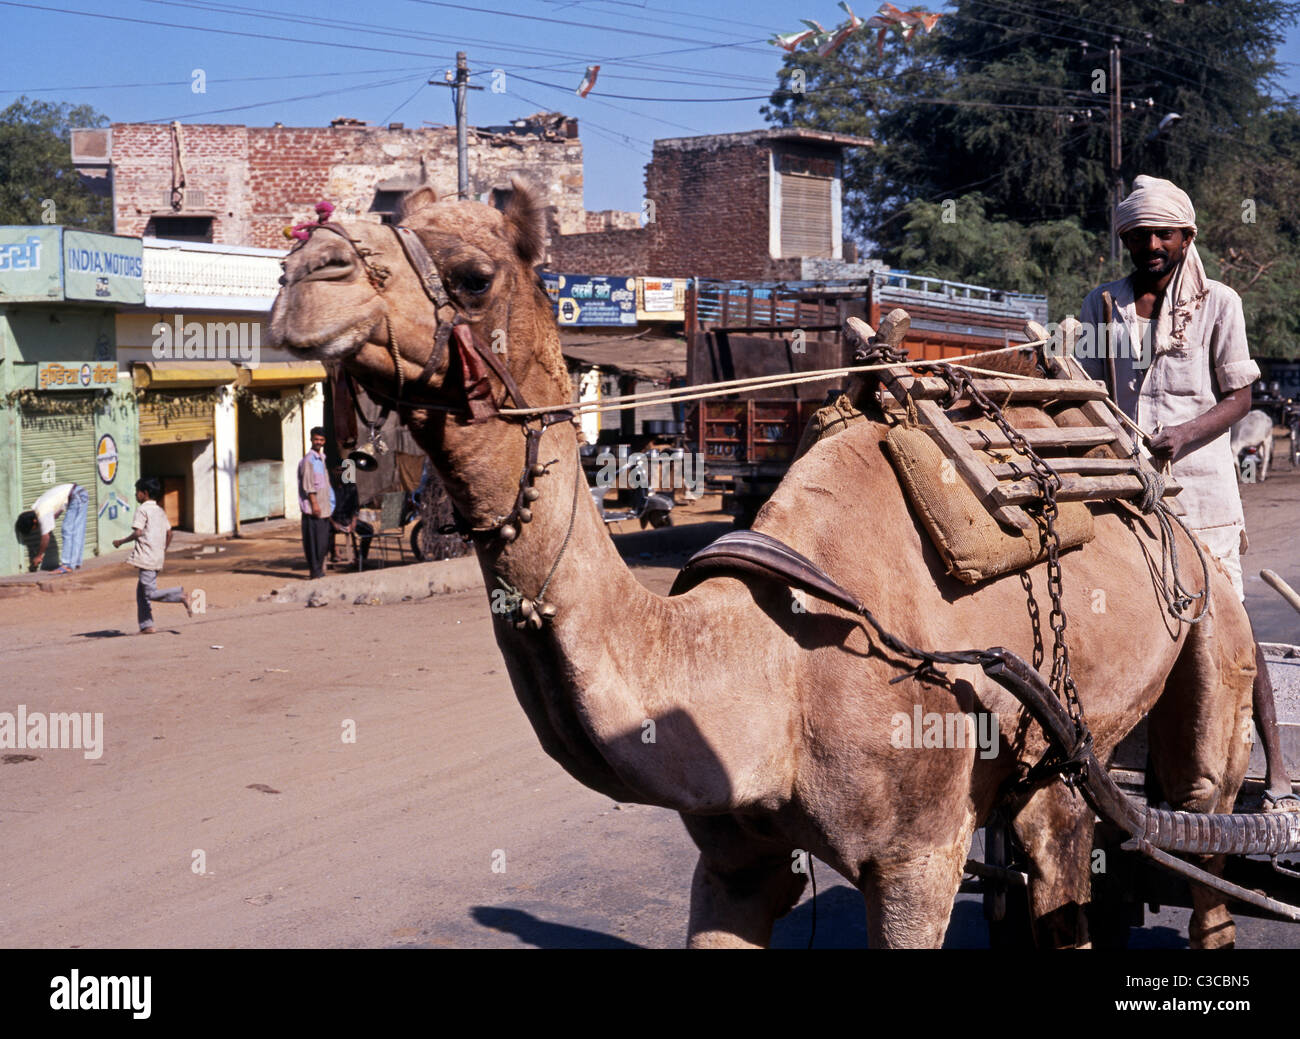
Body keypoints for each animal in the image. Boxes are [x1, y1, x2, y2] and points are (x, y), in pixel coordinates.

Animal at [269, 183, 1259, 948]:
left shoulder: (920, 858)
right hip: (1057, 750)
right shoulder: (732, 858)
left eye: (473, 277)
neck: (772, 665)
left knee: (1201, 839)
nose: (304, 272)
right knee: (1062, 852)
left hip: (1215, 637)